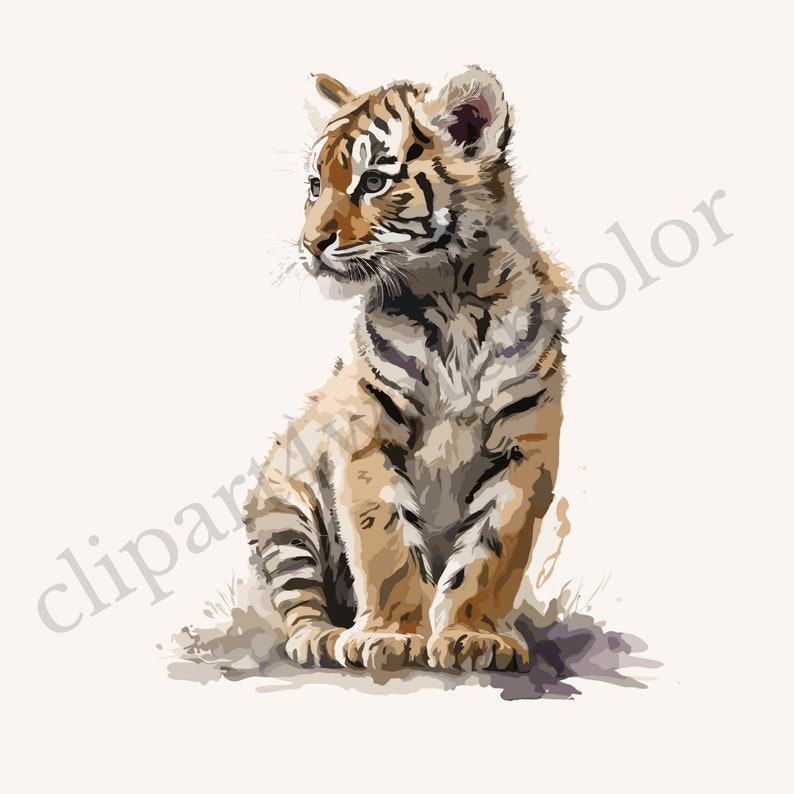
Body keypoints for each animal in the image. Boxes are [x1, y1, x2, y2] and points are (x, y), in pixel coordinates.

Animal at [243, 66, 570, 673]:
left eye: (373, 181)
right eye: (314, 185)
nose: (309, 244)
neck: (450, 299)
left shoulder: (526, 443)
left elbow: (493, 548)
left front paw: (474, 635)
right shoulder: (368, 431)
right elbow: (385, 541)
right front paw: (390, 637)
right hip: (285, 503)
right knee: (298, 595)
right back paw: (321, 637)